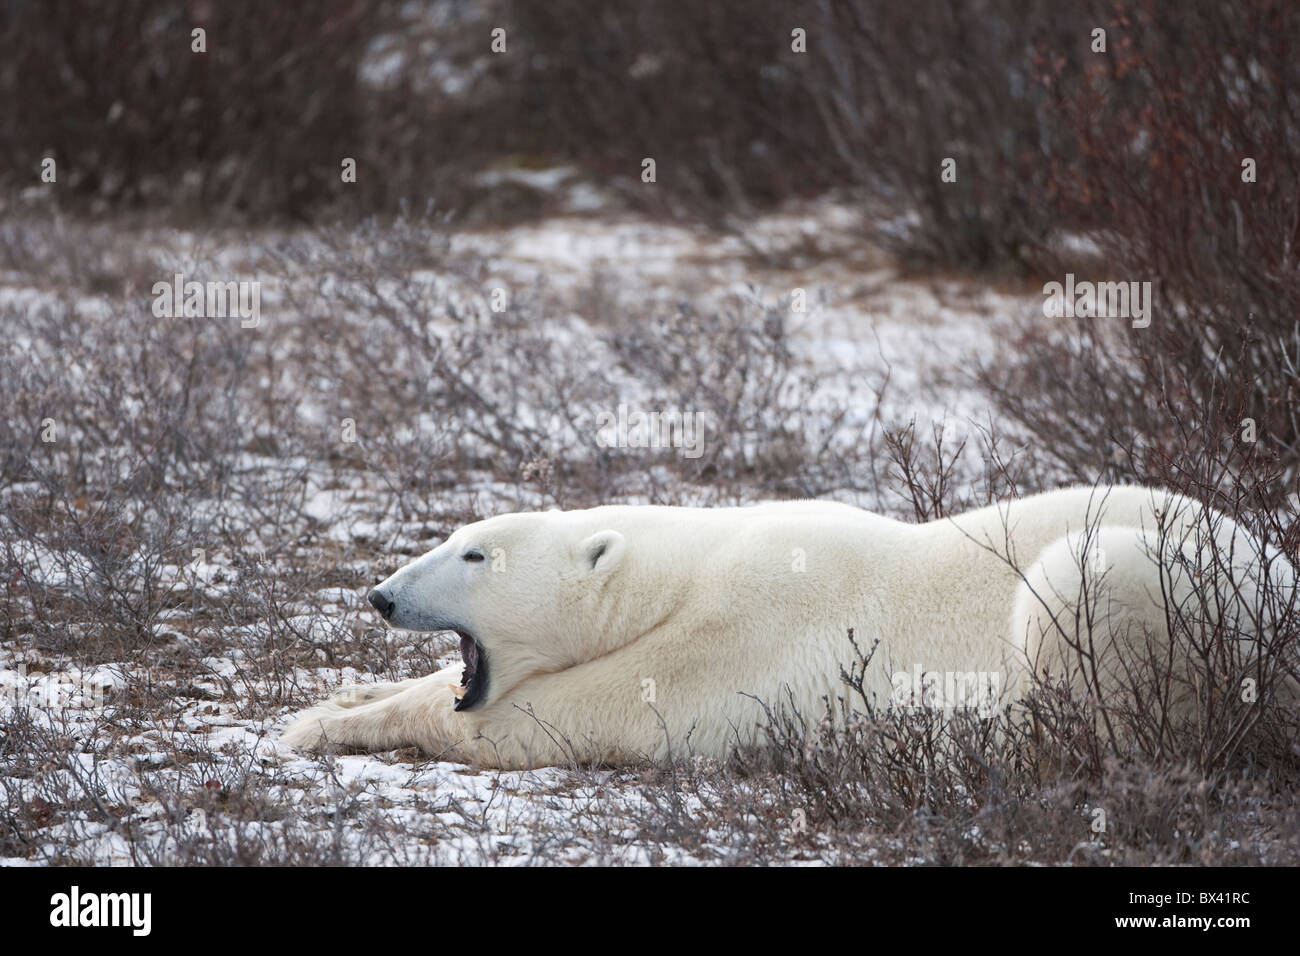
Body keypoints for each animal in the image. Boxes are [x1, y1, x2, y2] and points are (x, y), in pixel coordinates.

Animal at [279, 485, 1294, 768]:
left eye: (474, 554)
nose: (380, 595)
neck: (690, 565)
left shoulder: (744, 629)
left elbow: (572, 715)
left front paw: (320, 725)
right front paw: (348, 692)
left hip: (1167, 592)